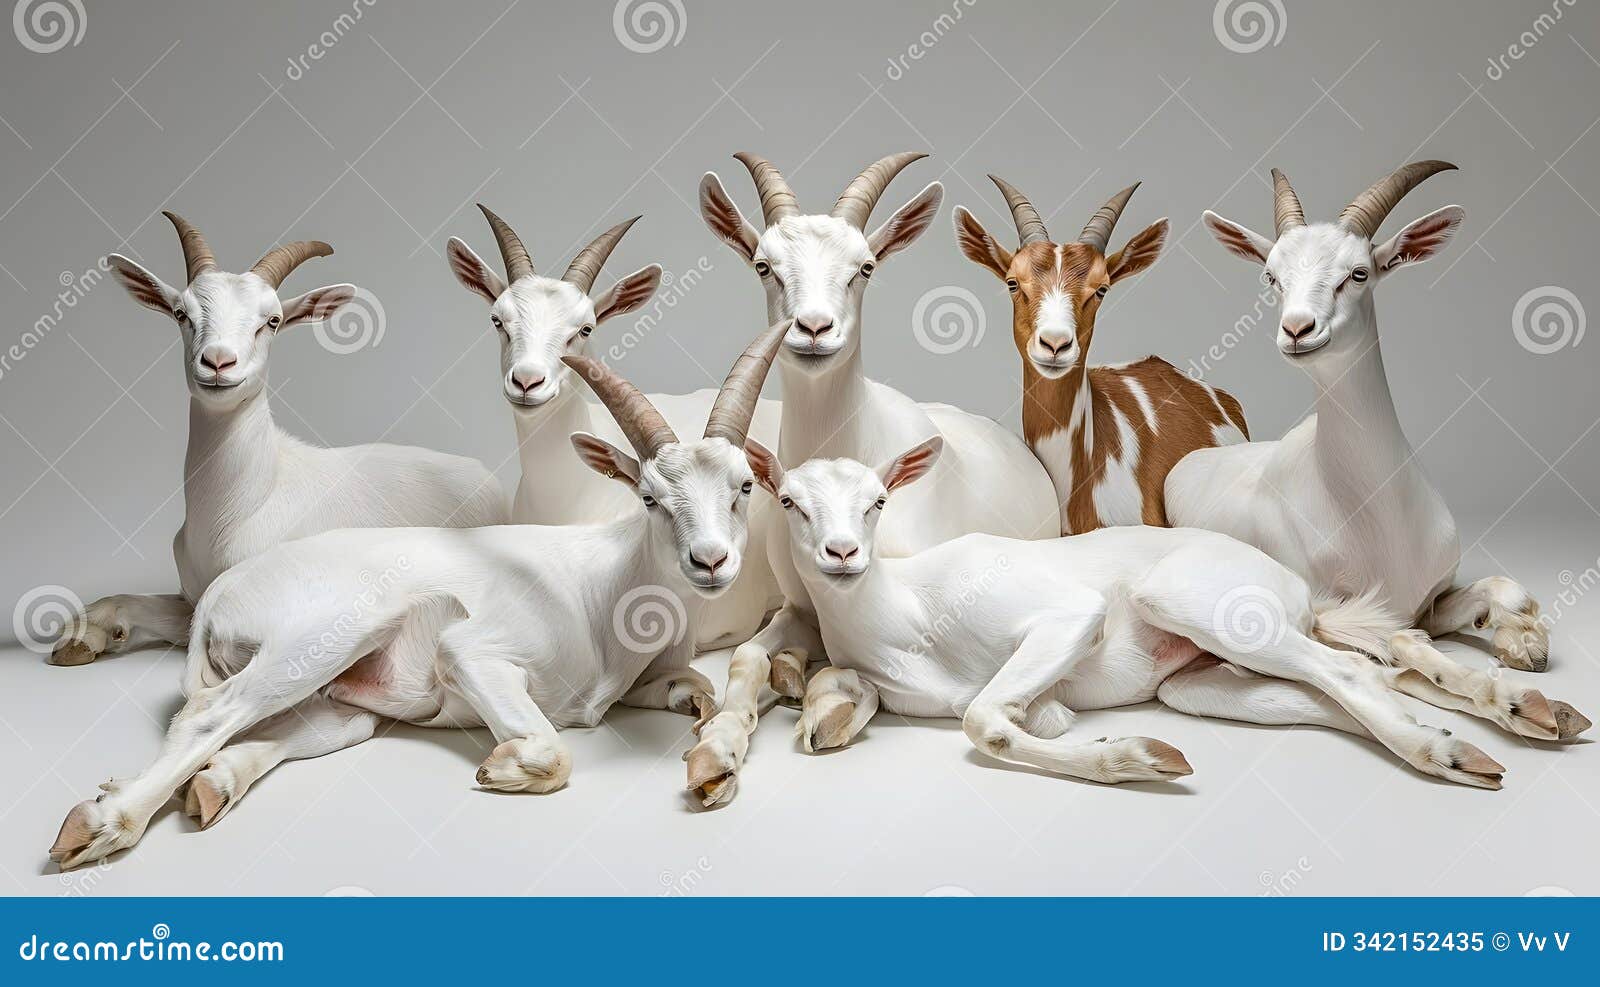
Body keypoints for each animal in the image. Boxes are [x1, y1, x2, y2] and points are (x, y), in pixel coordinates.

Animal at [48, 321, 787, 868]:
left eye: (744, 486)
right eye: (650, 497)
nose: (710, 561)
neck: (607, 583)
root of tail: (217, 595)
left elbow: (697, 688)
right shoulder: (473, 652)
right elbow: (554, 749)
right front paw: (498, 767)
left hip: (346, 704)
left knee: (268, 731)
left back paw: (210, 786)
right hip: (328, 635)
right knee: (209, 715)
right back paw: (102, 822)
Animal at [49, 214, 506, 666]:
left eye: (271, 321)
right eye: (182, 314)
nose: (219, 362)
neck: (237, 510)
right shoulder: (193, 598)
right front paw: (81, 635)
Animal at [685, 152, 1058, 805]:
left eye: (865, 266)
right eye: (763, 265)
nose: (813, 328)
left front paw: (822, 709)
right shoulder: (800, 604)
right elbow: (745, 656)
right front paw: (719, 747)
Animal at [749, 437, 1535, 790]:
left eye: (878, 500)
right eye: (789, 500)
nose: (843, 553)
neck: (902, 617)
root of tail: (1296, 589)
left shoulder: (1067, 614)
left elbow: (984, 720)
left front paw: (1140, 756)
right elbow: (1011, 717)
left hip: (1194, 603)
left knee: (1348, 671)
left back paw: (1456, 746)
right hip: (1198, 684)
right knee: (1340, 686)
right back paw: (1490, 728)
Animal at [1170, 162, 1587, 740]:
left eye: (1359, 272)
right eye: (1271, 277)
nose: (1297, 329)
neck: (1376, 513)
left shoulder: (1427, 600)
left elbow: (1504, 588)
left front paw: (1524, 644)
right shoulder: (1338, 614)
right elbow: (1396, 642)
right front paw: (1521, 704)